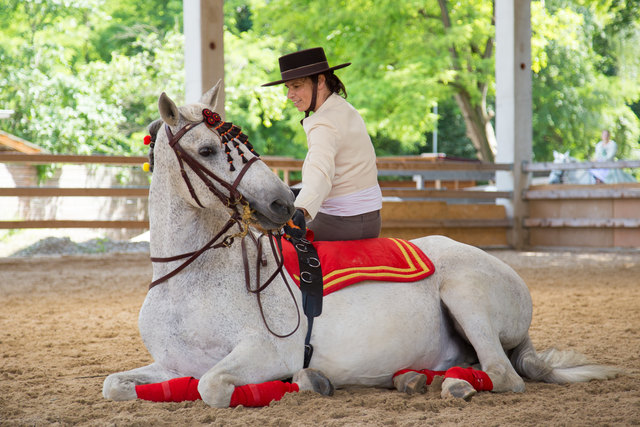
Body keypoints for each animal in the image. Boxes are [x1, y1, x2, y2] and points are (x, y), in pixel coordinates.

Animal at [103, 82, 620, 407]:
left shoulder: (264, 355)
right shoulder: (169, 364)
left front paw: (308, 382)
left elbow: (211, 387)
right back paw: (414, 379)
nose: (279, 203)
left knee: (503, 374)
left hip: (466, 296)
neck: (190, 284)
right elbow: (116, 384)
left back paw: (451, 388)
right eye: (208, 150)